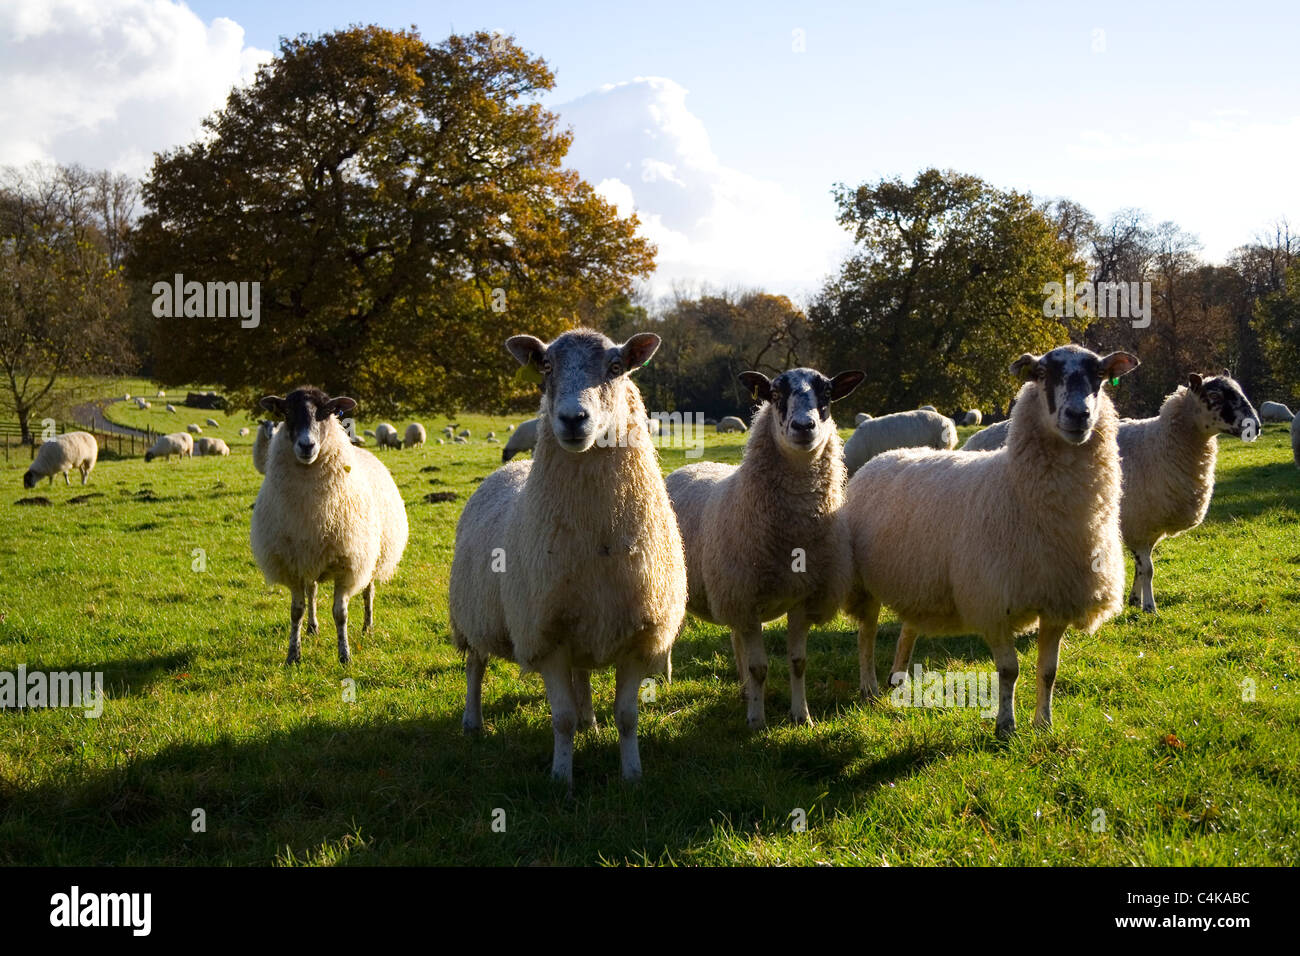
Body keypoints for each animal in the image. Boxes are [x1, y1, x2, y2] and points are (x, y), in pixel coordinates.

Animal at [252, 387, 409, 666]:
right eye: (287, 412)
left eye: (326, 412)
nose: (307, 445)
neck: (312, 510)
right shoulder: (292, 564)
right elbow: (296, 611)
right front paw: (293, 655)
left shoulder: (348, 564)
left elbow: (340, 613)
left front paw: (344, 655)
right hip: (310, 556)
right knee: (312, 591)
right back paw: (312, 627)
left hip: (371, 555)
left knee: (368, 591)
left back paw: (367, 626)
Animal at [449, 329, 686, 786]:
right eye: (545, 366)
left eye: (616, 367)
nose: (573, 419)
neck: (597, 539)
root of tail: (508, 470)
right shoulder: (546, 637)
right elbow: (561, 719)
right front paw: (561, 779)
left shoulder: (638, 636)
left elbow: (627, 717)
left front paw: (632, 775)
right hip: (475, 615)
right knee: (475, 666)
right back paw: (472, 721)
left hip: (583, 620)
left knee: (582, 676)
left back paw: (590, 720)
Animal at [666, 366, 864, 728]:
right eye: (774, 394)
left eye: (827, 394)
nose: (804, 427)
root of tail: (688, 466)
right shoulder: (747, 599)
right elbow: (760, 667)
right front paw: (757, 722)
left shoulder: (801, 598)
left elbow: (798, 662)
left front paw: (802, 716)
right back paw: (664, 676)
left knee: (735, 640)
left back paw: (745, 691)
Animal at [843, 345, 1139, 737]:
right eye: (1042, 373)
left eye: (1100, 376)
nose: (1079, 415)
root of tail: (880, 459)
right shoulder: (992, 600)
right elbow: (1009, 670)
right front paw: (1006, 726)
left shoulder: (1058, 598)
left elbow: (1049, 671)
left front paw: (1043, 724)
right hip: (863, 582)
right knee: (866, 634)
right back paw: (869, 686)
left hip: (921, 581)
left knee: (907, 630)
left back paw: (899, 679)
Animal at [1116, 373, 1260, 613]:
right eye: (1214, 396)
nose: (1255, 426)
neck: (1159, 446)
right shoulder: (1137, 524)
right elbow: (1147, 569)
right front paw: (1150, 608)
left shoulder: (1150, 528)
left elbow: (1141, 568)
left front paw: (1136, 601)